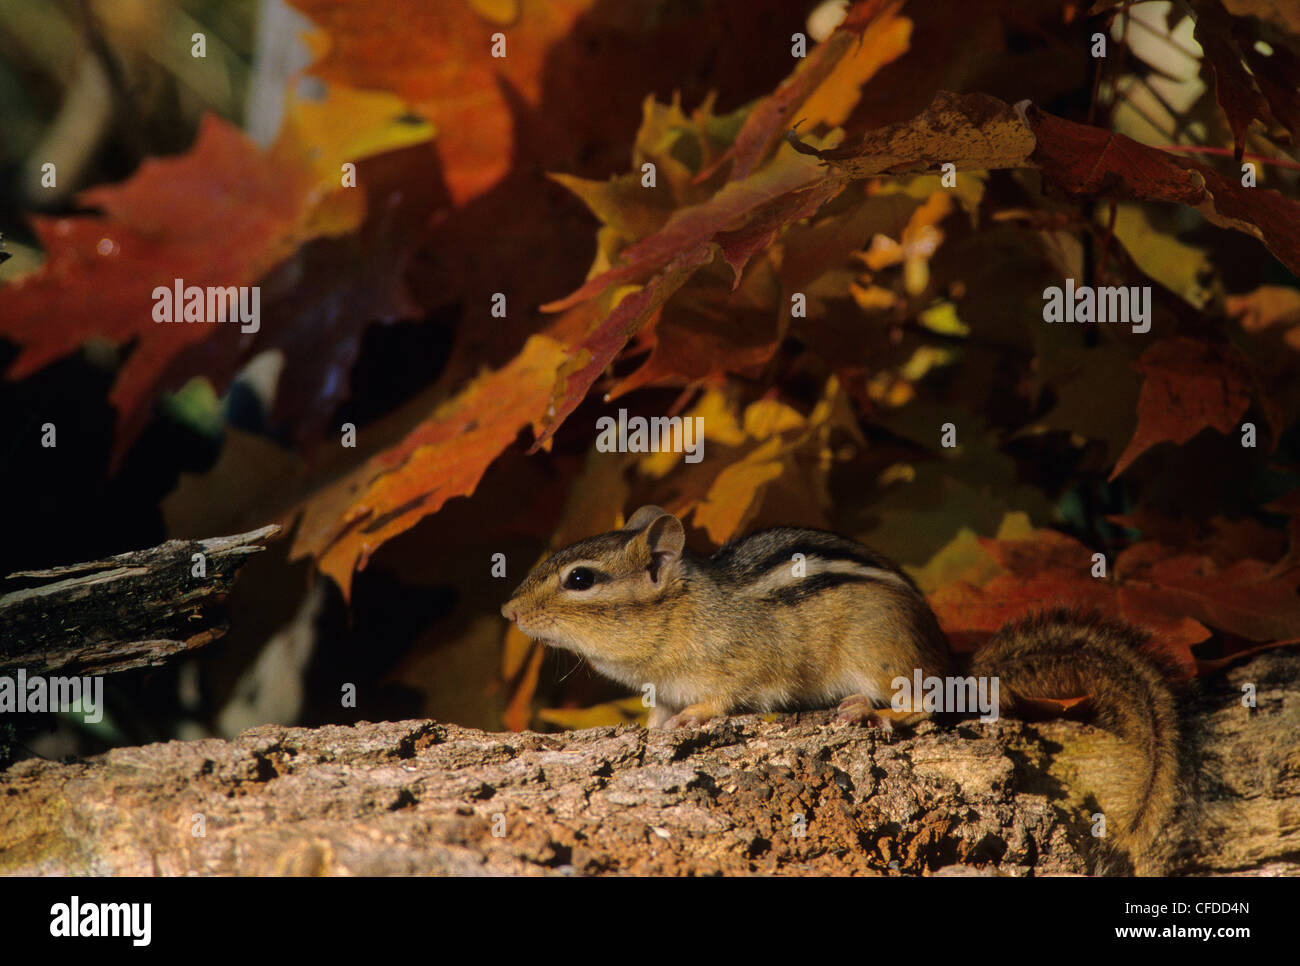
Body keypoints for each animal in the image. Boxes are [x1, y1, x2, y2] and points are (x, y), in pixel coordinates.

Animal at [500, 505, 1185, 871]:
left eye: (580, 579)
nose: (508, 611)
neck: (685, 610)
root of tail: (950, 661)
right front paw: (654, 726)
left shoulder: (740, 663)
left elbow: (724, 696)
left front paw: (694, 718)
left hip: (881, 658)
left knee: (926, 705)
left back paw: (873, 713)